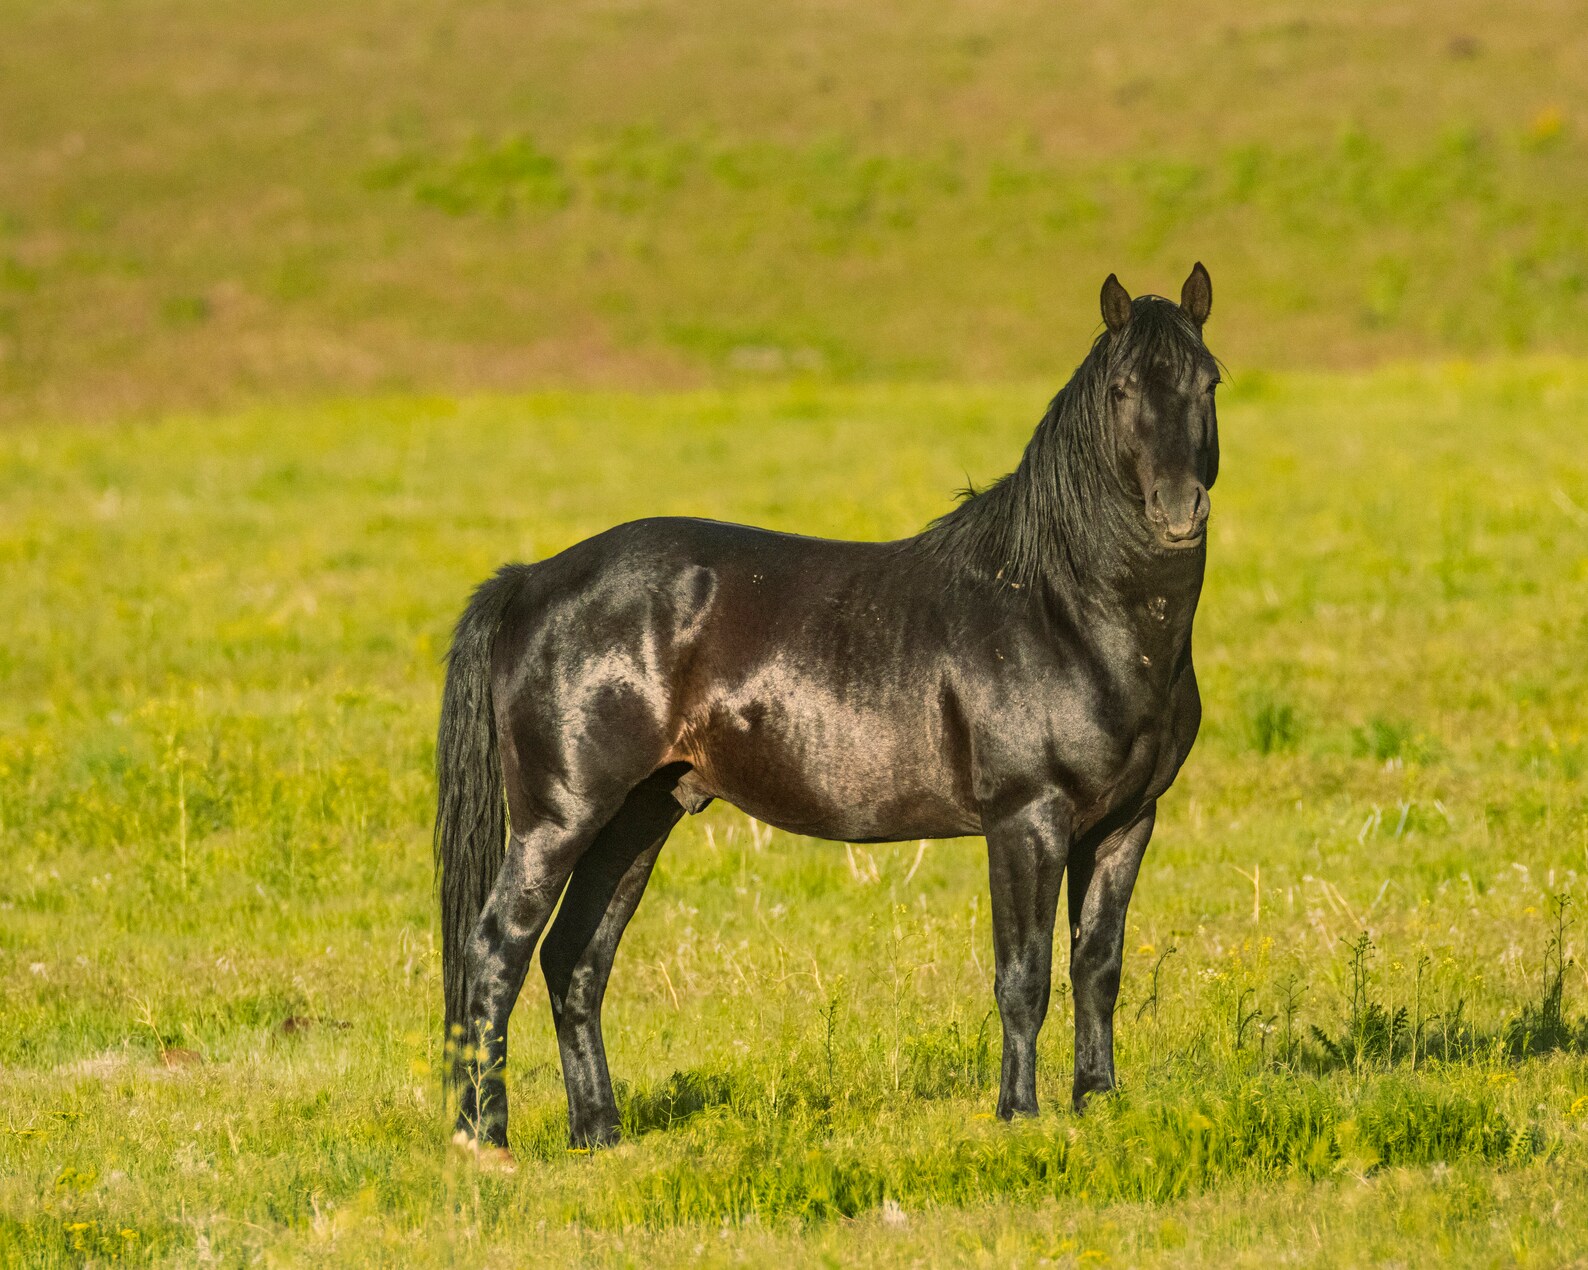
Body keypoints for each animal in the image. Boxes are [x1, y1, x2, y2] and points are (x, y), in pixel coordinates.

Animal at [434, 264, 1220, 1162]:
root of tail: (529, 580)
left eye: (1207, 382)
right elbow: (1024, 975)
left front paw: (1099, 1101)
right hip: (558, 819)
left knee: (574, 959)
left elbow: (1097, 967)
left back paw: (599, 1135)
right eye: (1123, 390)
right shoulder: (1028, 819)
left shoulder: (1125, 822)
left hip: (637, 816)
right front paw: (1019, 1116)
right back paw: (485, 1141)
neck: (1057, 608)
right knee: (496, 952)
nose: (1178, 509)